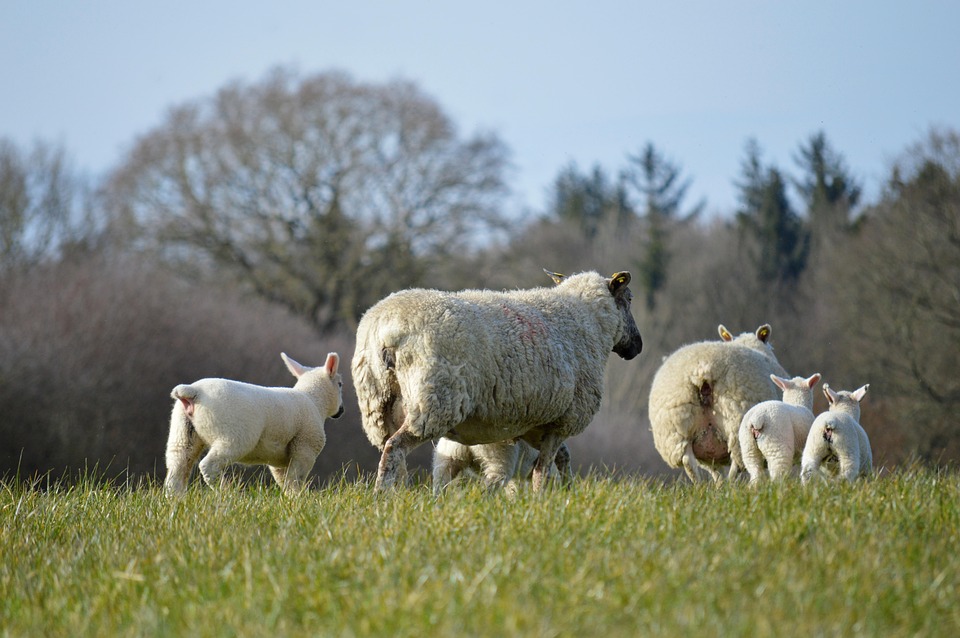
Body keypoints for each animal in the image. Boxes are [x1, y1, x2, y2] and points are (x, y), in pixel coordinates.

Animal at [163, 352, 344, 495]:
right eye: (340, 384)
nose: (341, 411)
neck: (314, 400)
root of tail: (194, 392)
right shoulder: (305, 447)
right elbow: (296, 479)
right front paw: (299, 499)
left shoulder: (279, 461)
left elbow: (285, 481)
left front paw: (290, 499)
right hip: (233, 435)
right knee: (209, 466)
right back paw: (228, 493)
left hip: (182, 433)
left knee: (177, 469)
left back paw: (176, 499)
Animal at [648, 324, 788, 482]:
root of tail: (702, 371)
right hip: (737, 421)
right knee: (736, 465)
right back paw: (730, 484)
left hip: (676, 430)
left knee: (688, 461)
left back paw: (702, 485)